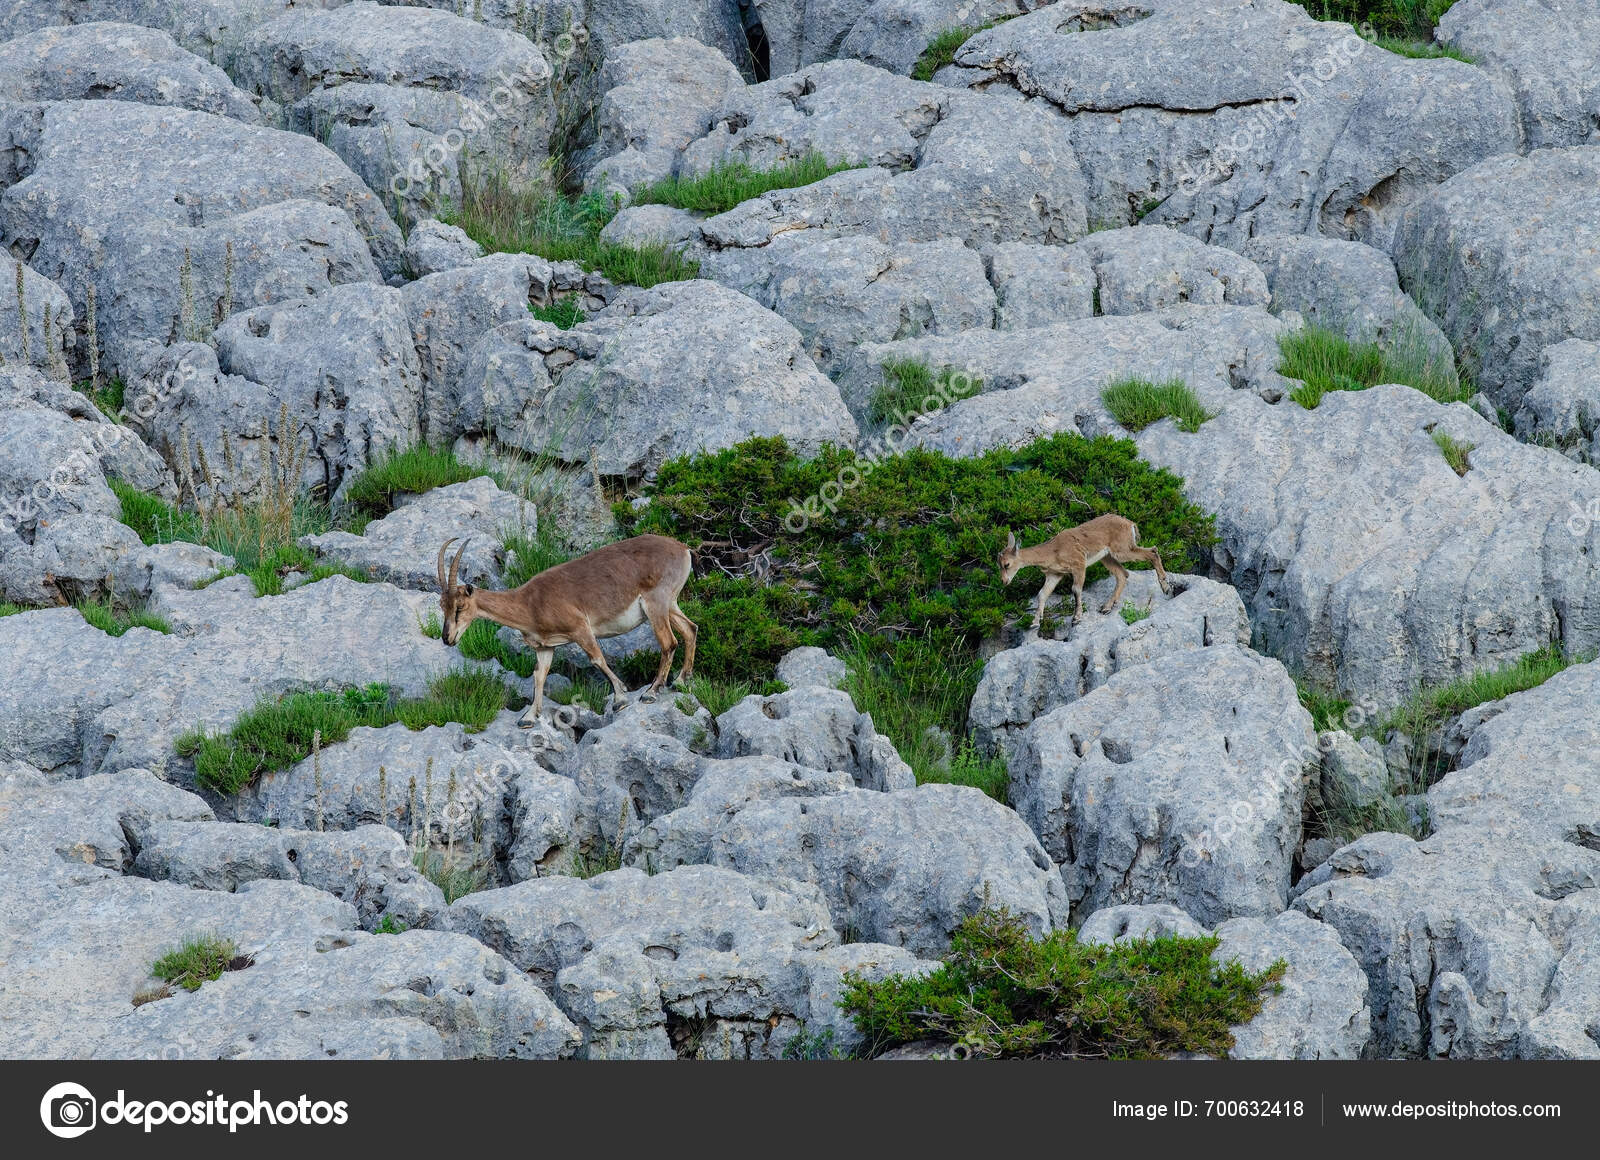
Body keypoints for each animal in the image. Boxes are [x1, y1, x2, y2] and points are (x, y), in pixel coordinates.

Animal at [435, 534, 696, 725]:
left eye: (460, 606)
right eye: (441, 605)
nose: (447, 638)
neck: (530, 603)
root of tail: (683, 549)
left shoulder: (580, 628)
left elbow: (597, 659)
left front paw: (620, 698)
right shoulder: (545, 647)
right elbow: (539, 675)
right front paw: (528, 717)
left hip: (656, 603)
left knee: (669, 642)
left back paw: (651, 692)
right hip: (670, 604)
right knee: (690, 629)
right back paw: (681, 681)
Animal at [997, 513, 1170, 632]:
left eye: (1007, 564)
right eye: (998, 564)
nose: (1004, 581)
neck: (1052, 551)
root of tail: (1131, 524)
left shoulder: (1079, 564)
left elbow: (1076, 589)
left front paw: (1076, 619)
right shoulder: (1055, 574)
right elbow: (1042, 594)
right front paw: (1035, 622)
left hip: (1122, 549)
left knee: (1153, 552)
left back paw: (1166, 587)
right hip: (1107, 556)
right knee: (1123, 574)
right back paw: (1106, 607)